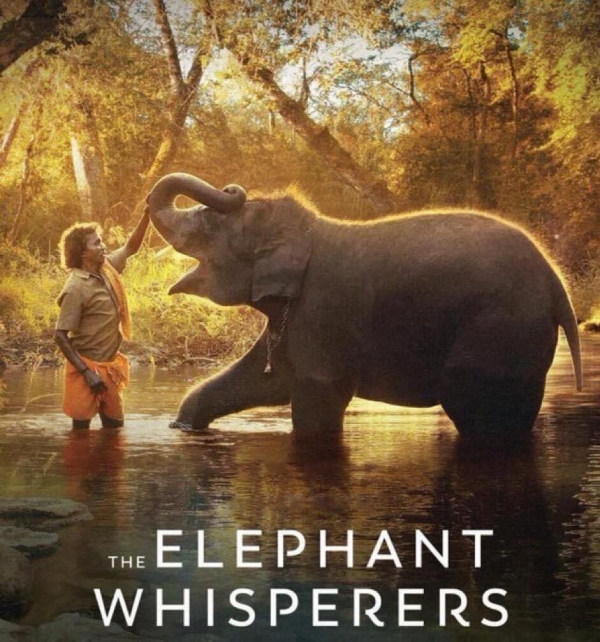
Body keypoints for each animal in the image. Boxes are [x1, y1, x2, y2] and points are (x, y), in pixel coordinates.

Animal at [147, 172, 583, 439]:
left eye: (209, 227)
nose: (232, 187)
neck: (308, 231)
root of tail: (557, 286)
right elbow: (265, 380)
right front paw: (183, 427)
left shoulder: (323, 310)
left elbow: (316, 396)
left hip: (499, 330)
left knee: (474, 408)